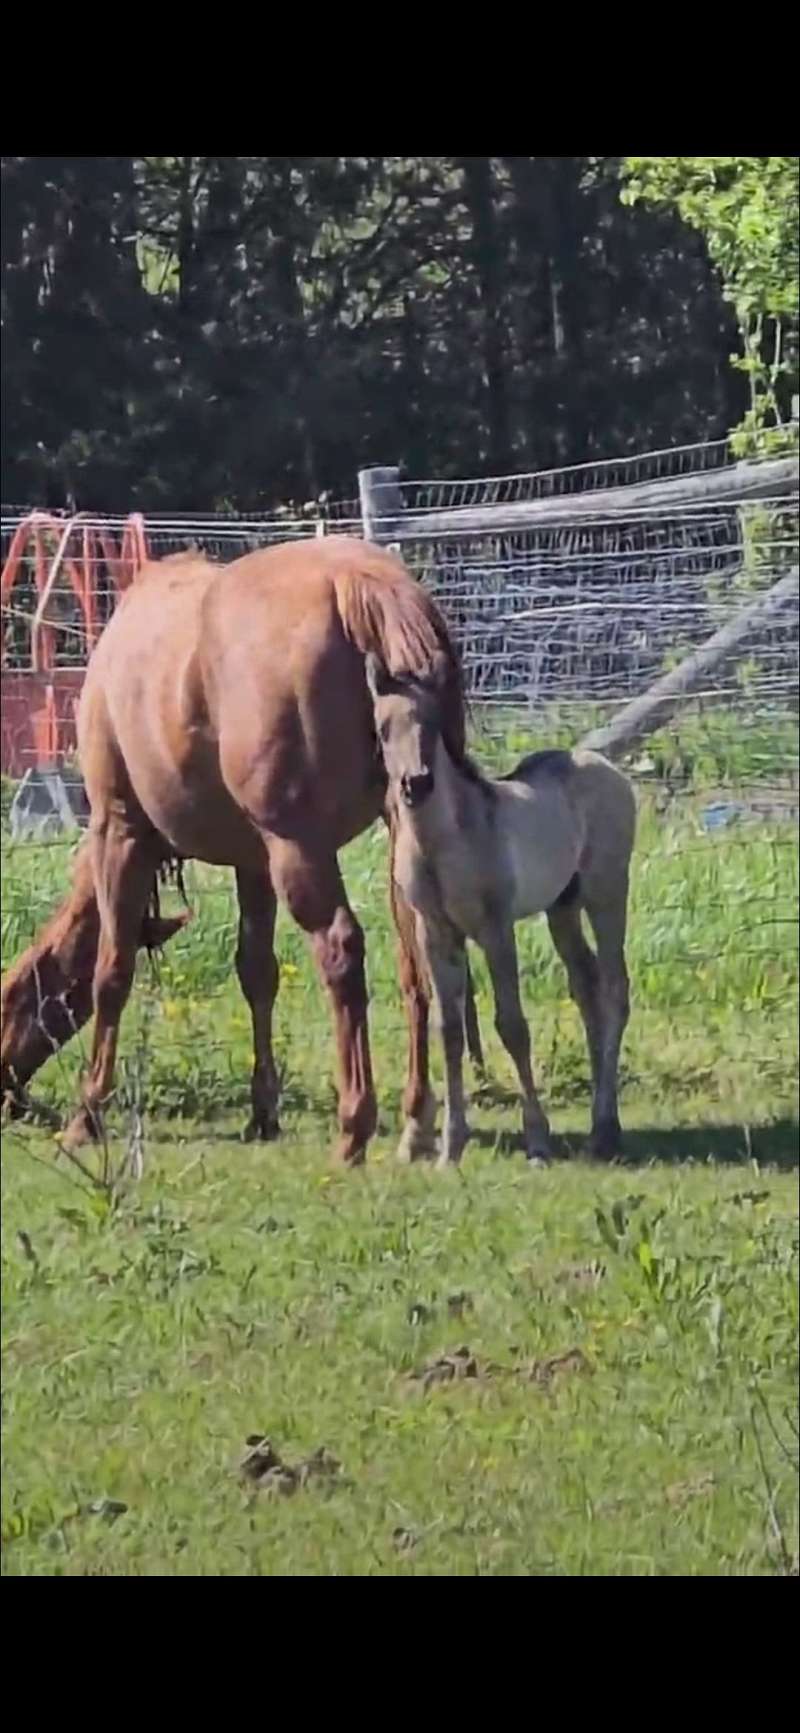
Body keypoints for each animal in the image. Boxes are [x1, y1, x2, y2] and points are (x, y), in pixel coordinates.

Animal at [1, 538, 485, 1166]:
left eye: (14, 997)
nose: (8, 1090)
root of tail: (367, 588)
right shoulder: (252, 860)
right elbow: (257, 972)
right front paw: (264, 1109)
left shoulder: (119, 827)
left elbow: (112, 970)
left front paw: (87, 1114)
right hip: (400, 822)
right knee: (415, 959)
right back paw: (417, 1118)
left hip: (297, 840)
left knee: (341, 948)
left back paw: (355, 1124)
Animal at [366, 653, 636, 1168]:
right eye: (382, 728)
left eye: (431, 723)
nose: (416, 784)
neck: (442, 843)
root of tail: (606, 765)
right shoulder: (436, 933)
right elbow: (449, 1029)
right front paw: (450, 1148)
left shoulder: (495, 929)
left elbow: (512, 1025)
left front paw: (538, 1142)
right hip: (562, 908)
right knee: (587, 987)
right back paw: (601, 1119)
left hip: (607, 894)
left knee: (615, 989)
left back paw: (607, 1129)